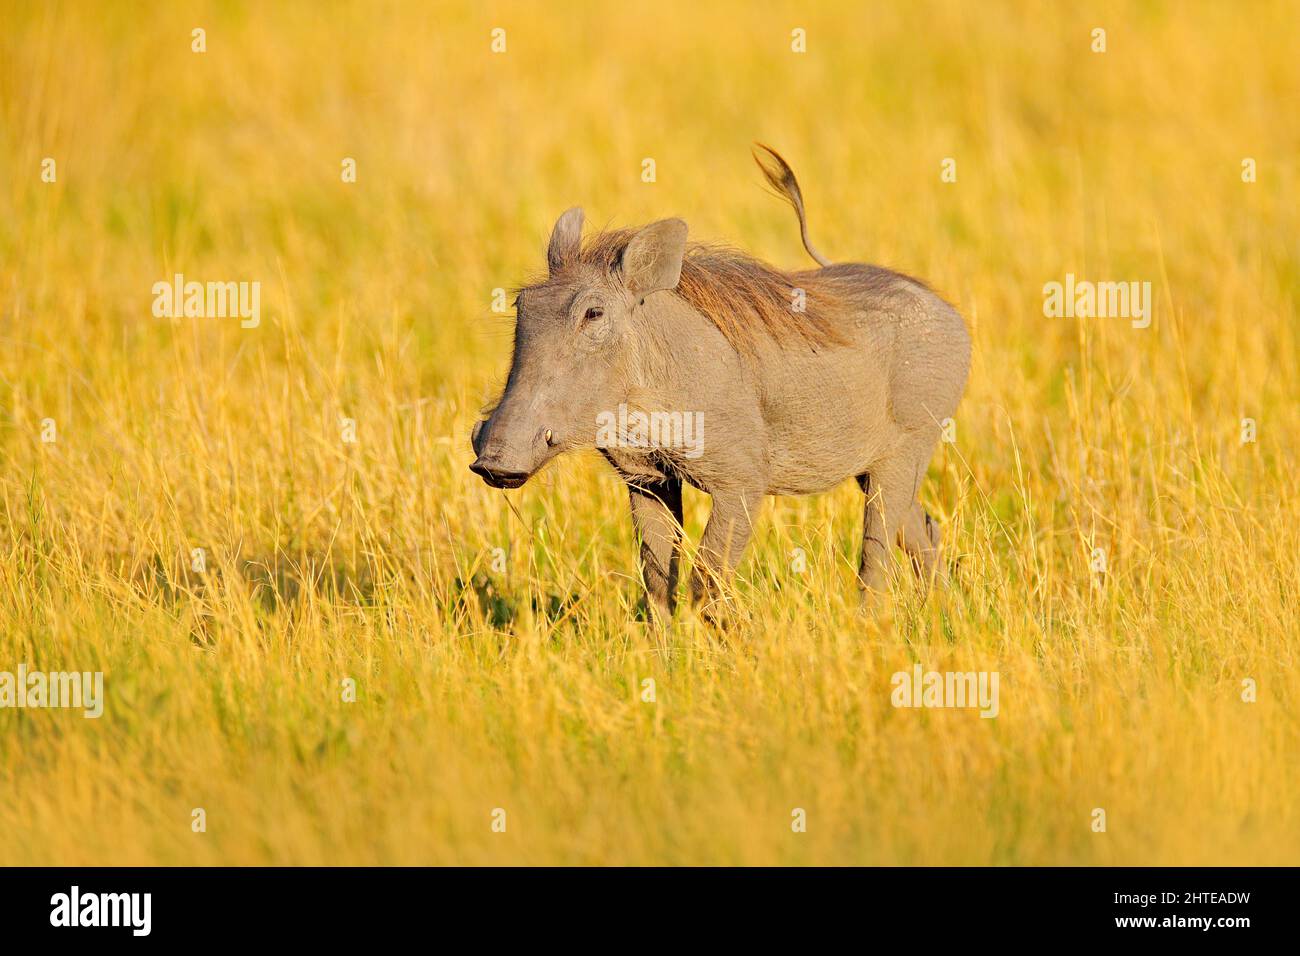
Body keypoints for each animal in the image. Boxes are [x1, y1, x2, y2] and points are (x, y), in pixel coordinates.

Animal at [471, 145, 971, 620]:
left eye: (593, 313)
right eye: (521, 305)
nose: (495, 462)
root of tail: (944, 309)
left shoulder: (742, 482)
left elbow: (705, 580)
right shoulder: (646, 479)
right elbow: (658, 579)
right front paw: (666, 647)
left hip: (907, 450)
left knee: (876, 553)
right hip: (876, 466)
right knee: (923, 530)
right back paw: (945, 614)